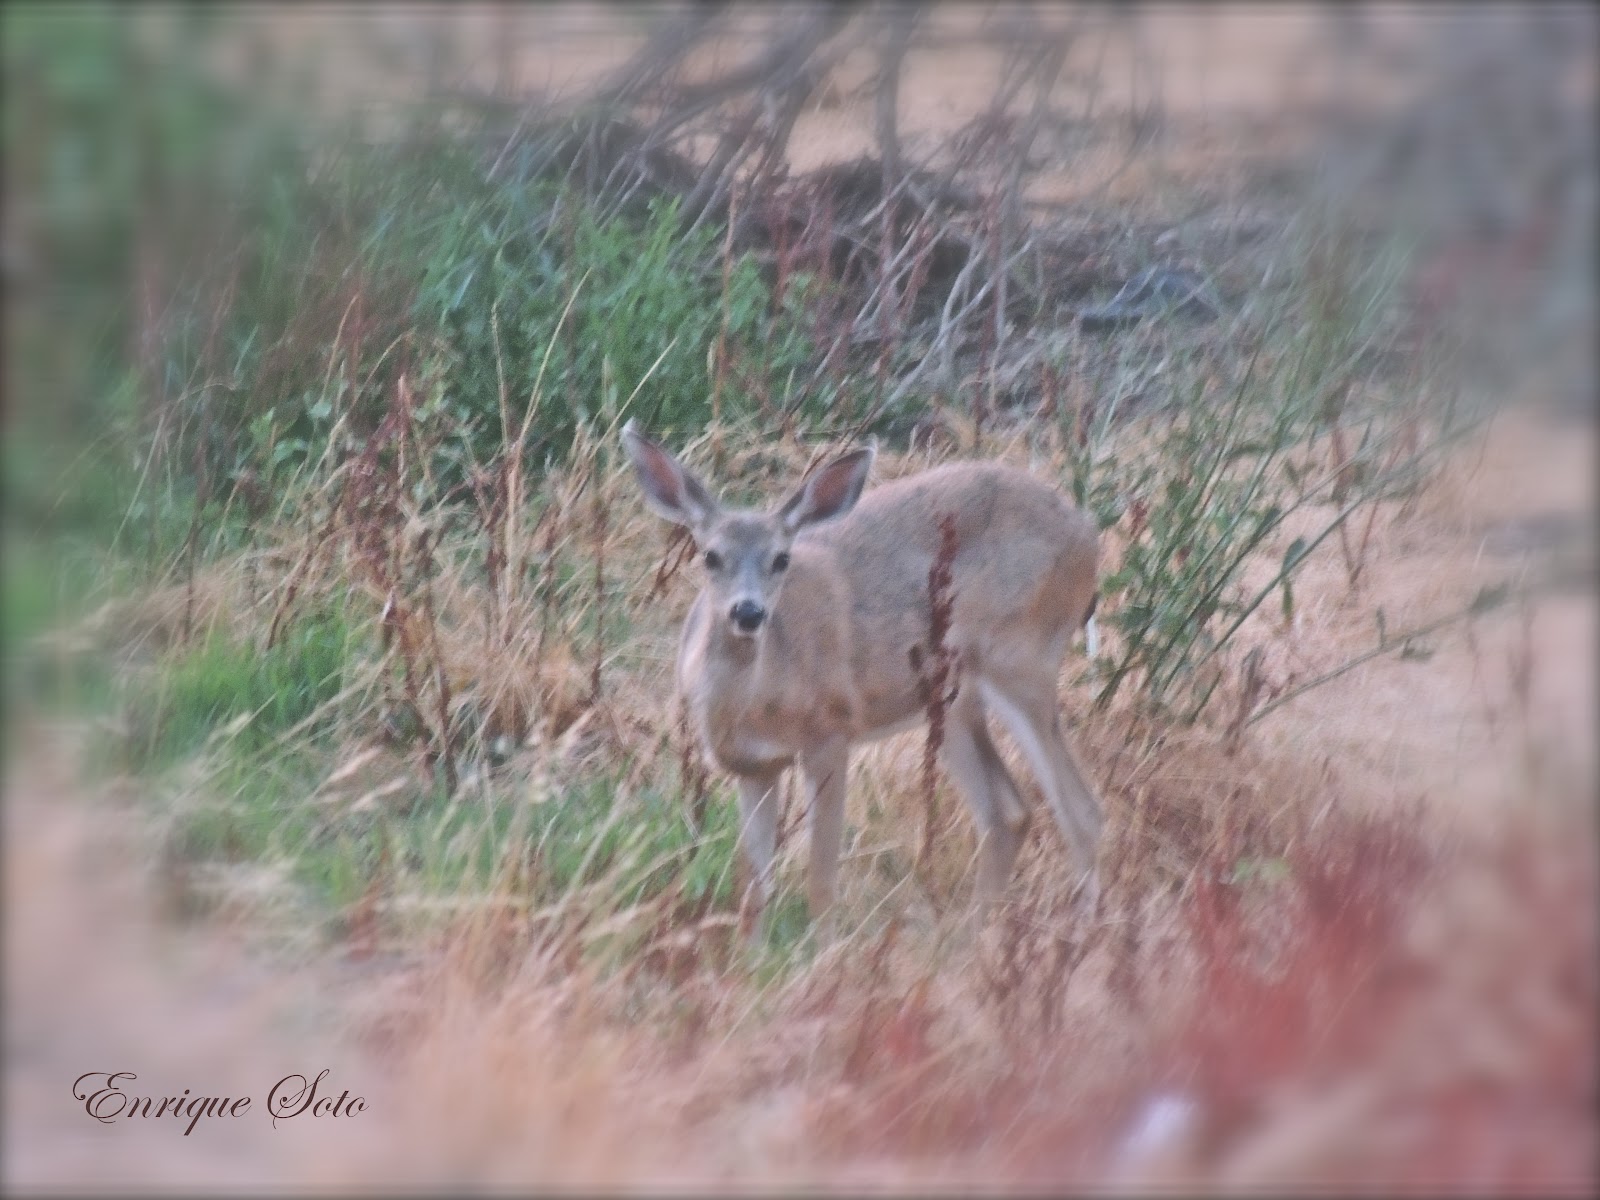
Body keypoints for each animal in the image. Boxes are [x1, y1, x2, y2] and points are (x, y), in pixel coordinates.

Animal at [621, 421, 1104, 936]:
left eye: (781, 559)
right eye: (710, 556)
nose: (748, 612)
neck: (752, 703)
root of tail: (1088, 533)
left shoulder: (831, 732)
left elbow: (821, 882)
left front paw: (821, 951)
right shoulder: (753, 766)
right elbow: (752, 888)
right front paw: (750, 953)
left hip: (1021, 658)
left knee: (1082, 813)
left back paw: (1078, 938)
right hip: (951, 699)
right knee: (1007, 811)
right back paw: (973, 938)